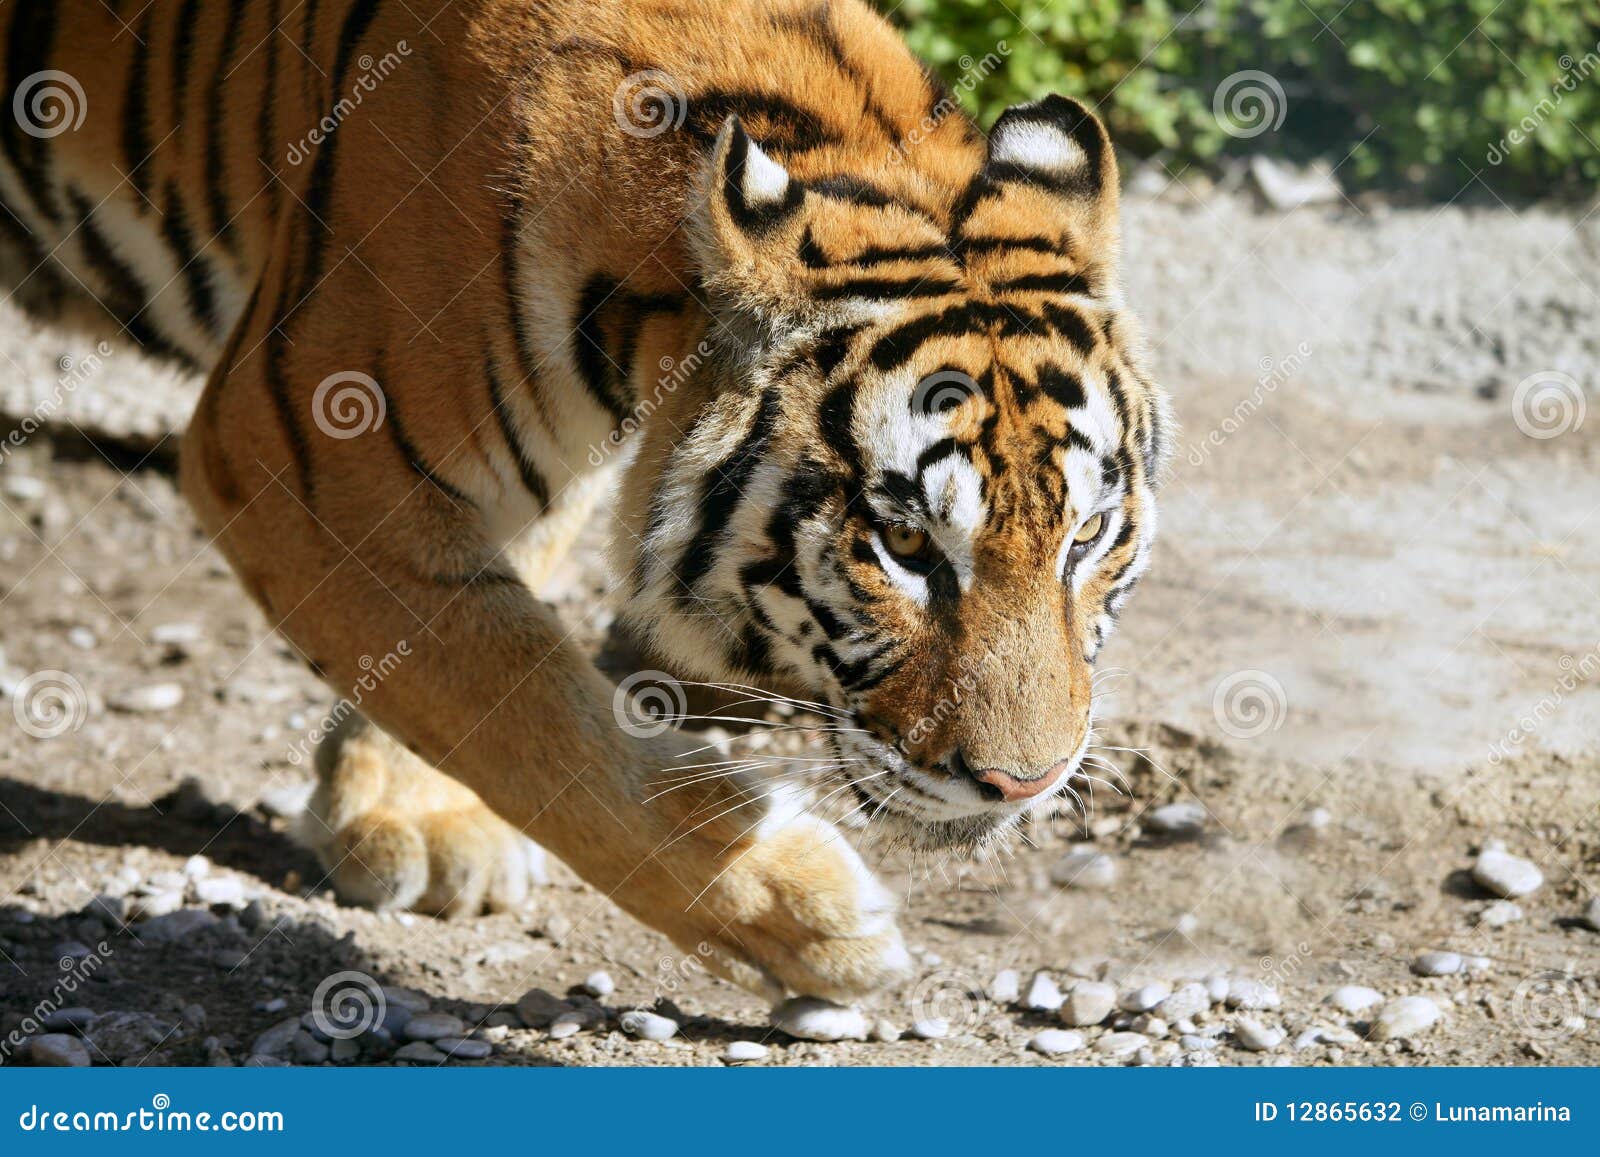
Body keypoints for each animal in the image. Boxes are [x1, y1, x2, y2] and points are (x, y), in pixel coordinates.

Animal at [0, 0, 1169, 1004]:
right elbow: (519, 701)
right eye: (903, 543)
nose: (1023, 784)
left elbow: (458, 631)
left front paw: (412, 818)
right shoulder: (296, 439)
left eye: (1088, 535)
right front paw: (806, 917)